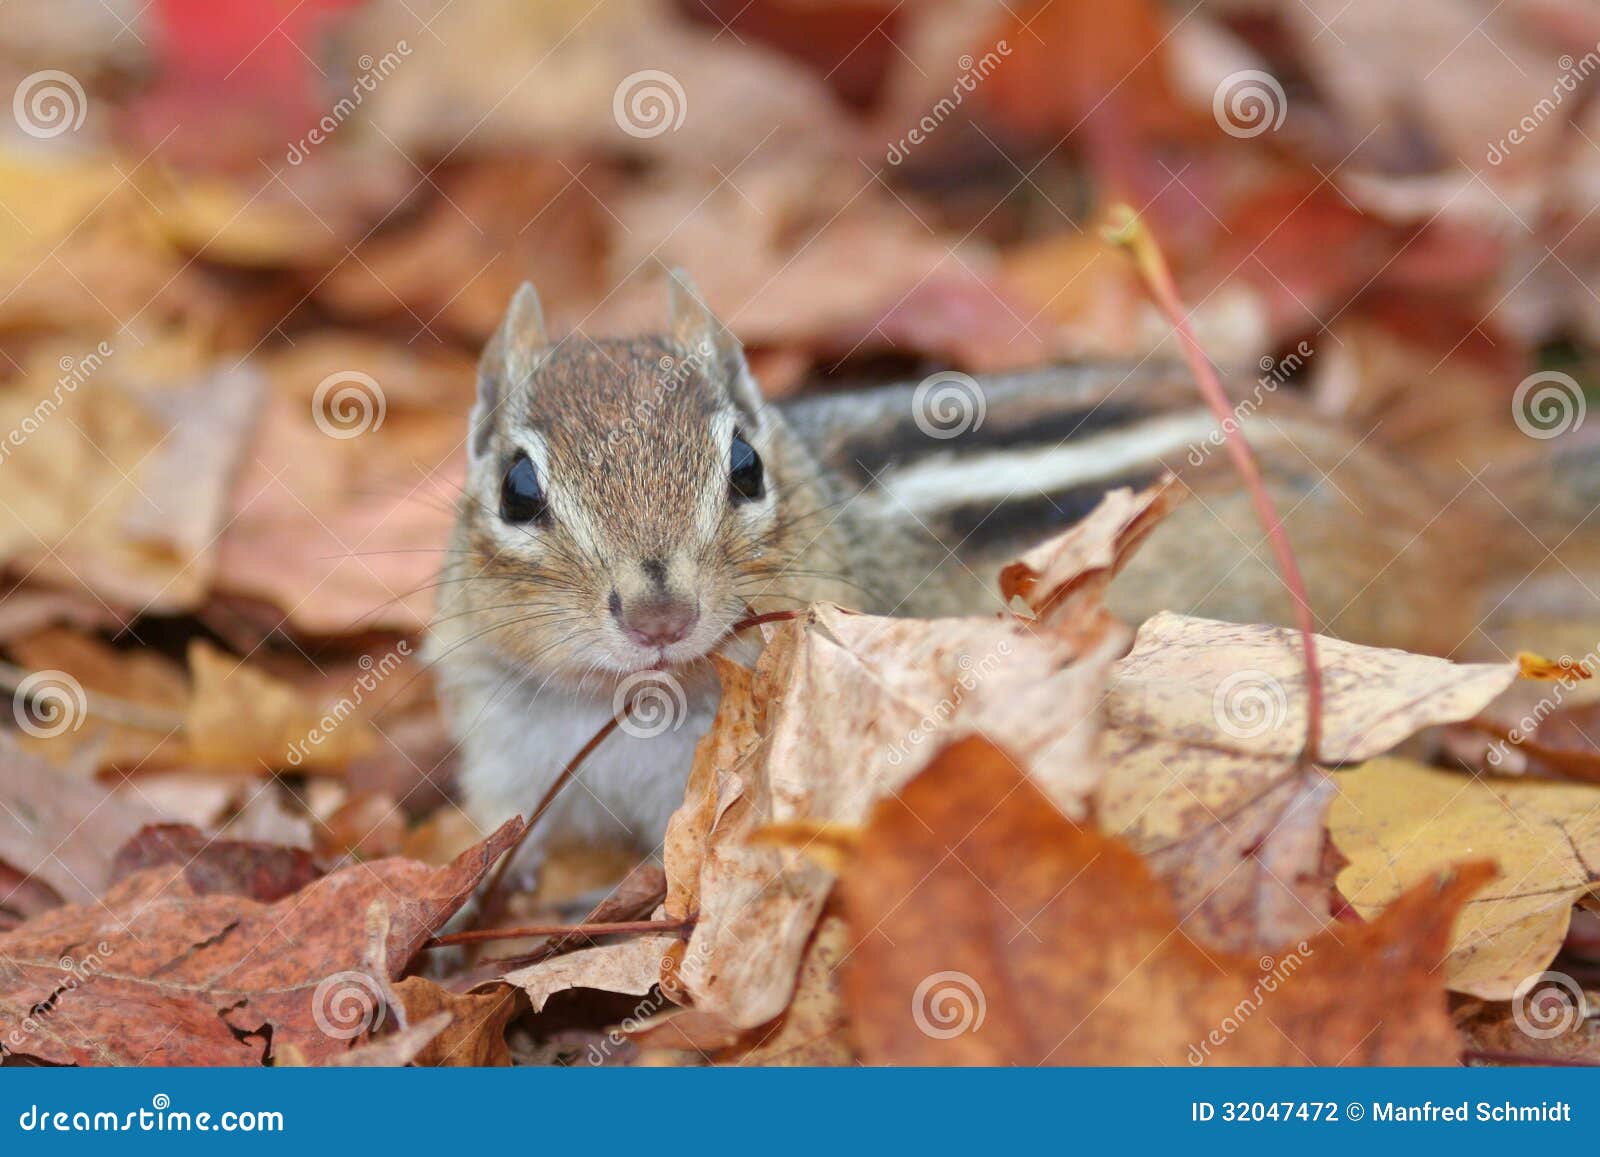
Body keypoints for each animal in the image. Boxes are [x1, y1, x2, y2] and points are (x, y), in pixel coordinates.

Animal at [428, 272, 1512, 883]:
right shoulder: (510, 752)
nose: (660, 614)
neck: (625, 701)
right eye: (516, 487)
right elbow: (505, 838)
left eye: (744, 466)